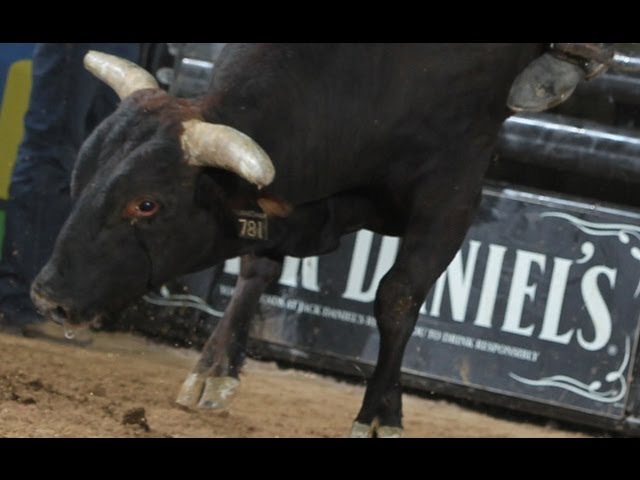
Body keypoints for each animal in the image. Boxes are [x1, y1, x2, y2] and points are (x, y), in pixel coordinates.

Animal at [30, 44, 545, 437]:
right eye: (81, 177)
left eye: (146, 204)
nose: (49, 296)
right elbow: (256, 268)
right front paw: (213, 371)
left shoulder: (452, 193)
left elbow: (397, 298)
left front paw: (378, 415)